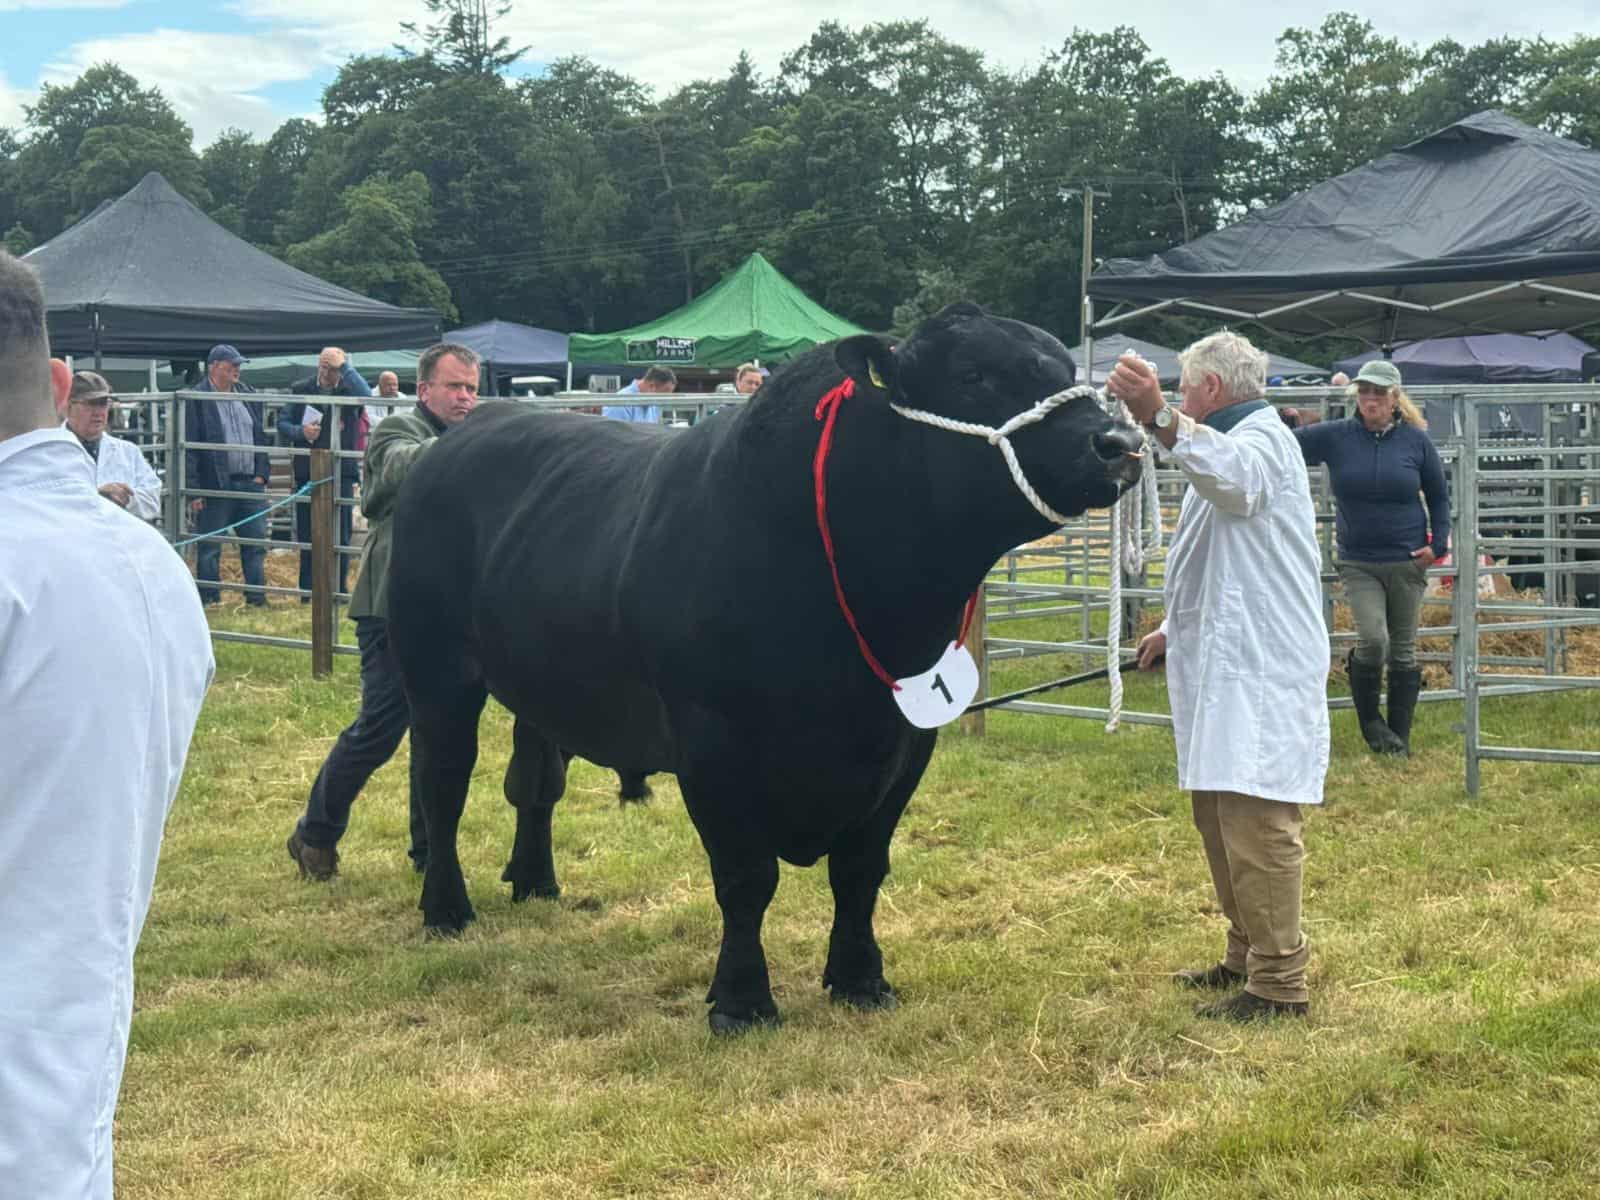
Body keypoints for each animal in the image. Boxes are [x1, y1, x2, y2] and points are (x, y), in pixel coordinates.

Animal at [387, 303, 1144, 1034]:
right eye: (974, 376)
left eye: (1064, 367)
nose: (1120, 443)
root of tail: (461, 435)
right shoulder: (713, 745)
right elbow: (746, 879)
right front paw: (742, 1001)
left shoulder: (907, 741)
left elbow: (861, 871)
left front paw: (862, 980)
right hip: (435, 668)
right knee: (442, 784)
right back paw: (446, 908)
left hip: (540, 681)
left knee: (535, 783)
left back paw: (535, 880)